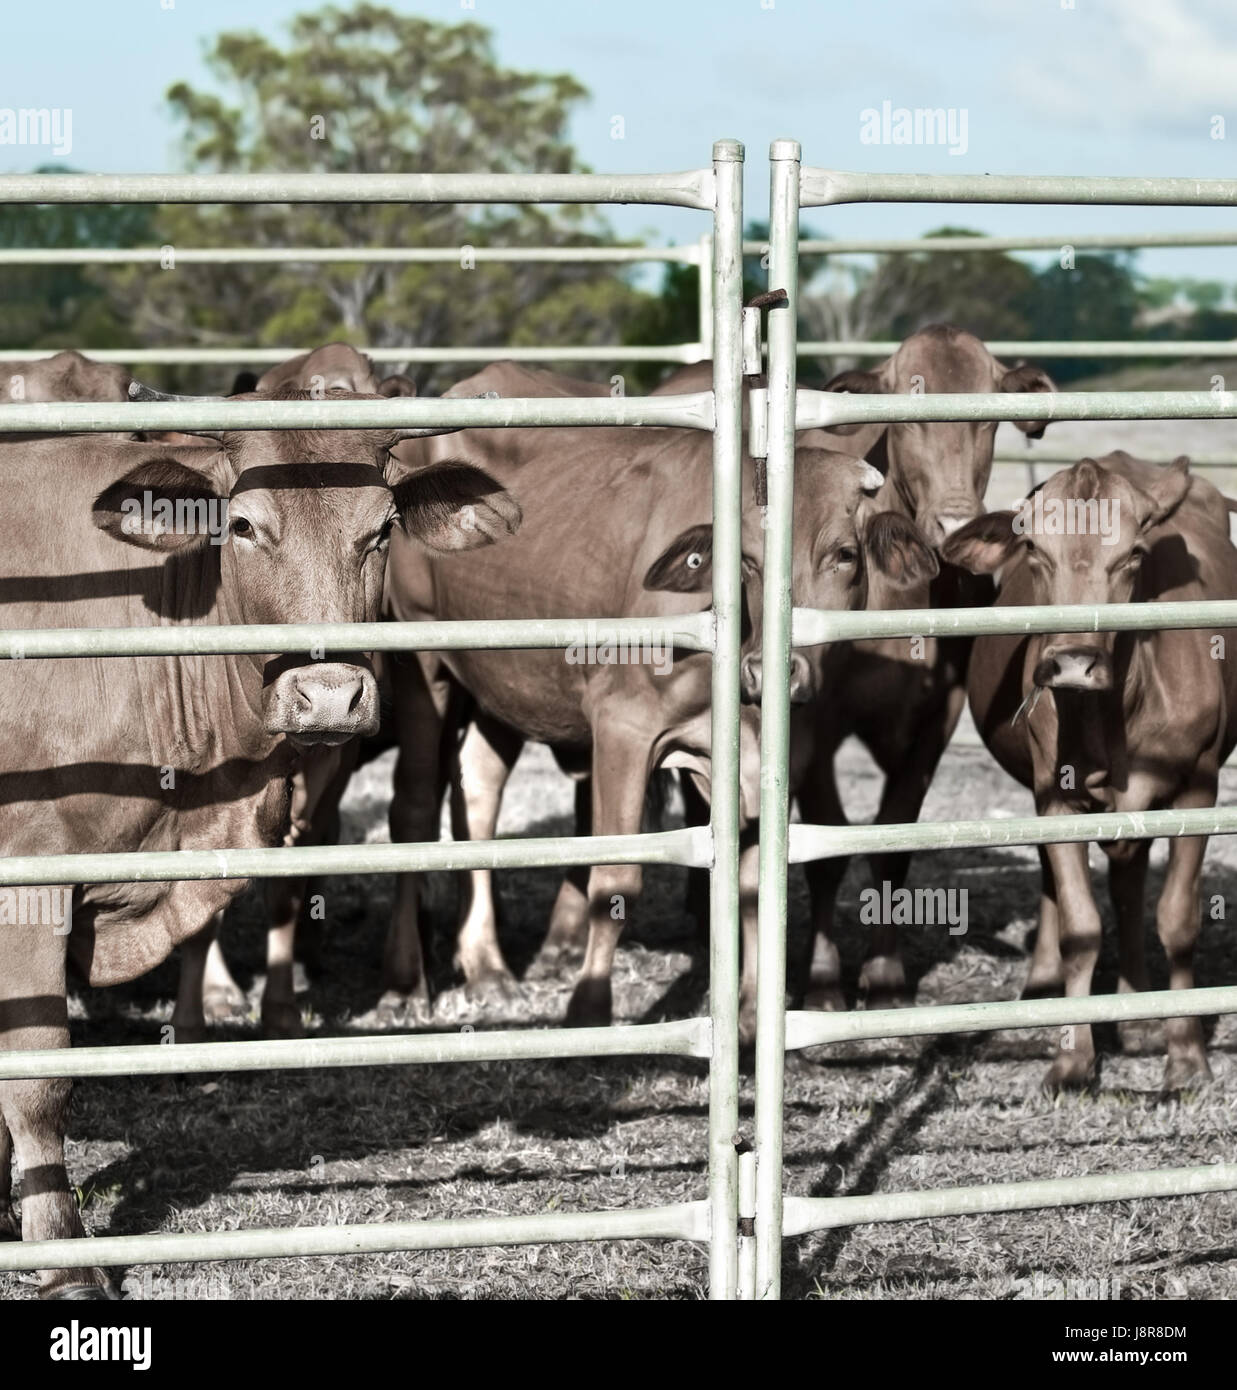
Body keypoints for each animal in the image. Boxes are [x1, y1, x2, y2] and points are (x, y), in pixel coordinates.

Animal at [0, 391, 521, 1297]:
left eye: (382, 527)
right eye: (243, 525)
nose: (330, 696)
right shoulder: (28, 879)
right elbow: (38, 1078)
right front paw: (61, 1254)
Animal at [376, 361, 937, 1039]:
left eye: (845, 555)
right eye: (747, 560)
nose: (767, 671)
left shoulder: (764, 762)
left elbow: (752, 885)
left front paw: (751, 1017)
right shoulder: (623, 725)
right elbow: (615, 877)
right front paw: (588, 1010)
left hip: (499, 685)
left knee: (477, 796)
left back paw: (487, 967)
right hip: (423, 663)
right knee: (412, 809)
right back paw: (404, 984)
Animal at [941, 452, 1237, 1093]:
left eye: (1134, 554)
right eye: (1033, 550)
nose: (1074, 663)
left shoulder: (1198, 788)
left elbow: (1177, 920)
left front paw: (1185, 1056)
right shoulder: (1053, 796)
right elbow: (1079, 924)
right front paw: (1073, 1058)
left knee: (1129, 885)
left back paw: (1139, 1014)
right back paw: (1045, 989)